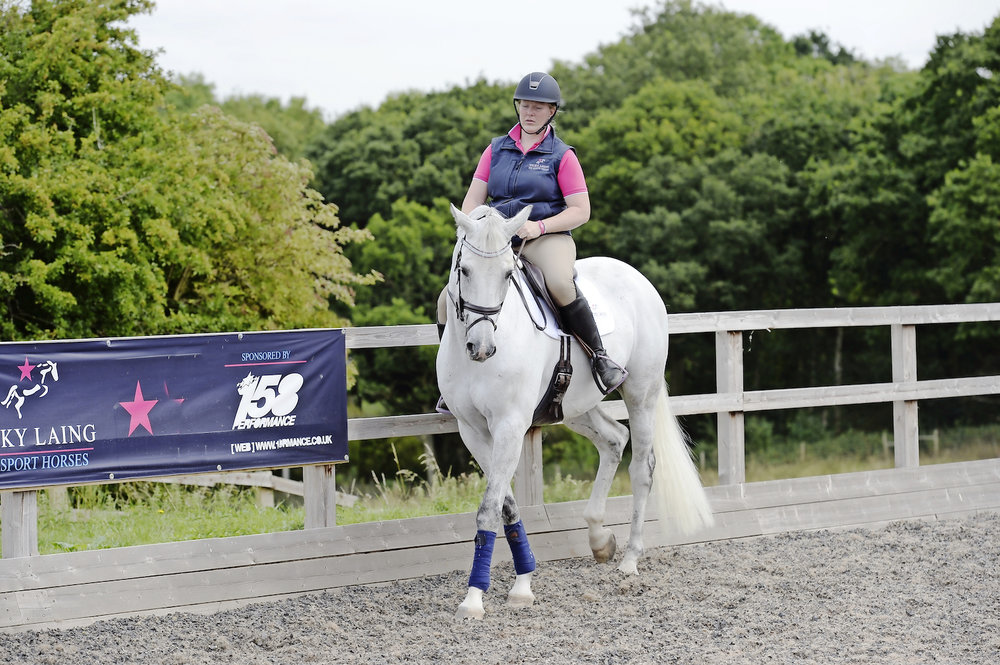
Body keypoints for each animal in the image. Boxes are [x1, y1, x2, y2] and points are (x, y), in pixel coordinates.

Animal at [436, 204, 714, 620]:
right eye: (465, 269)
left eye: (507, 275)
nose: (482, 347)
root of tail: (635, 276)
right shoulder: (473, 430)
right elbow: (506, 505)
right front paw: (522, 582)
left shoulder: (509, 426)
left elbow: (489, 508)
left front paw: (475, 598)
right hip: (575, 405)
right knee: (614, 440)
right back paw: (600, 539)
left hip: (641, 393)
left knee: (642, 467)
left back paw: (629, 559)